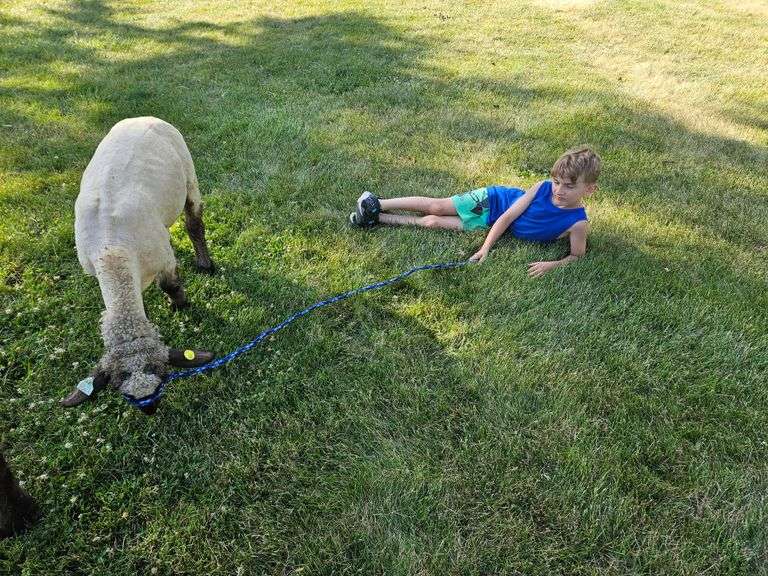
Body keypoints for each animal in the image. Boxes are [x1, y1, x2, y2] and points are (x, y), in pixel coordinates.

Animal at [60, 117, 216, 415]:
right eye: (120, 385)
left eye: (160, 372)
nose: (150, 408)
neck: (113, 253)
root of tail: (143, 118)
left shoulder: (163, 258)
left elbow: (170, 283)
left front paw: (180, 304)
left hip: (188, 172)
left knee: (194, 221)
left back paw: (204, 262)